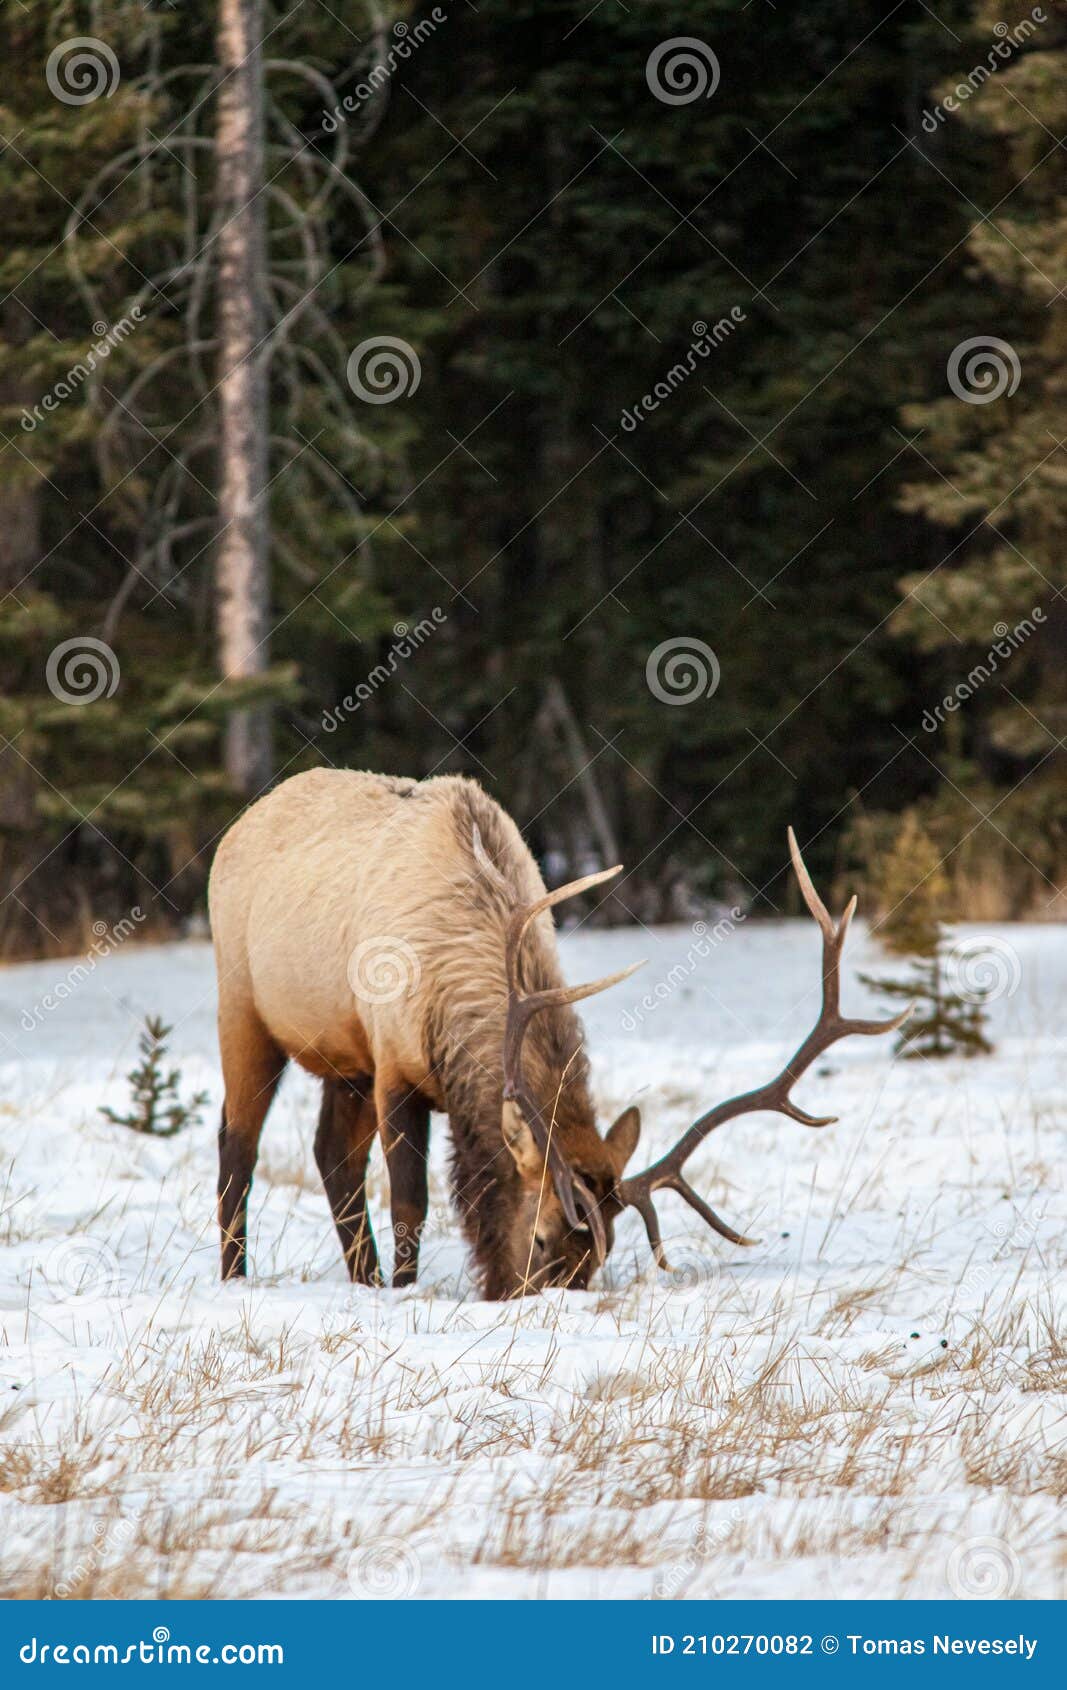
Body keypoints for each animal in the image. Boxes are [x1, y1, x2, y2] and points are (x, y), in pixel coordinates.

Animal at [208, 767, 906, 1297]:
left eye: (602, 1249)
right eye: (542, 1234)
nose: (534, 1298)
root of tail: (240, 822)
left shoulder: (374, 1059)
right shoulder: (395, 1061)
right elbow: (410, 1201)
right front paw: (405, 1289)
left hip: (341, 1055)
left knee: (331, 1154)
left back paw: (363, 1280)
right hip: (242, 1006)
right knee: (237, 1146)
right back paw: (237, 1276)